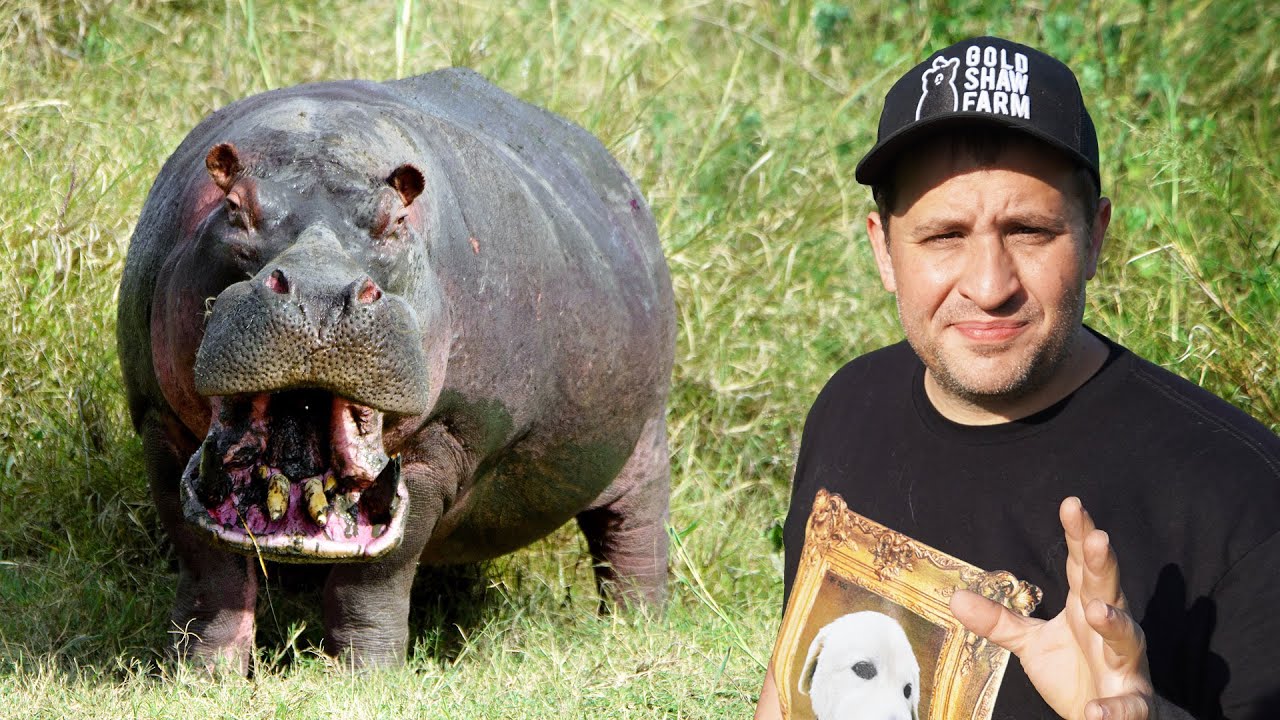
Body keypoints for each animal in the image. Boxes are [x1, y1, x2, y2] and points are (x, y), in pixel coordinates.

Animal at [116, 68, 676, 670]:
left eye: (396, 220)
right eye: (236, 207)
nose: (317, 292)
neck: (323, 140)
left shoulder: (442, 445)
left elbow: (376, 580)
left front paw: (364, 676)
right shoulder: (159, 422)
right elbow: (210, 571)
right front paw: (199, 673)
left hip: (646, 440)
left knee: (632, 540)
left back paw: (633, 632)